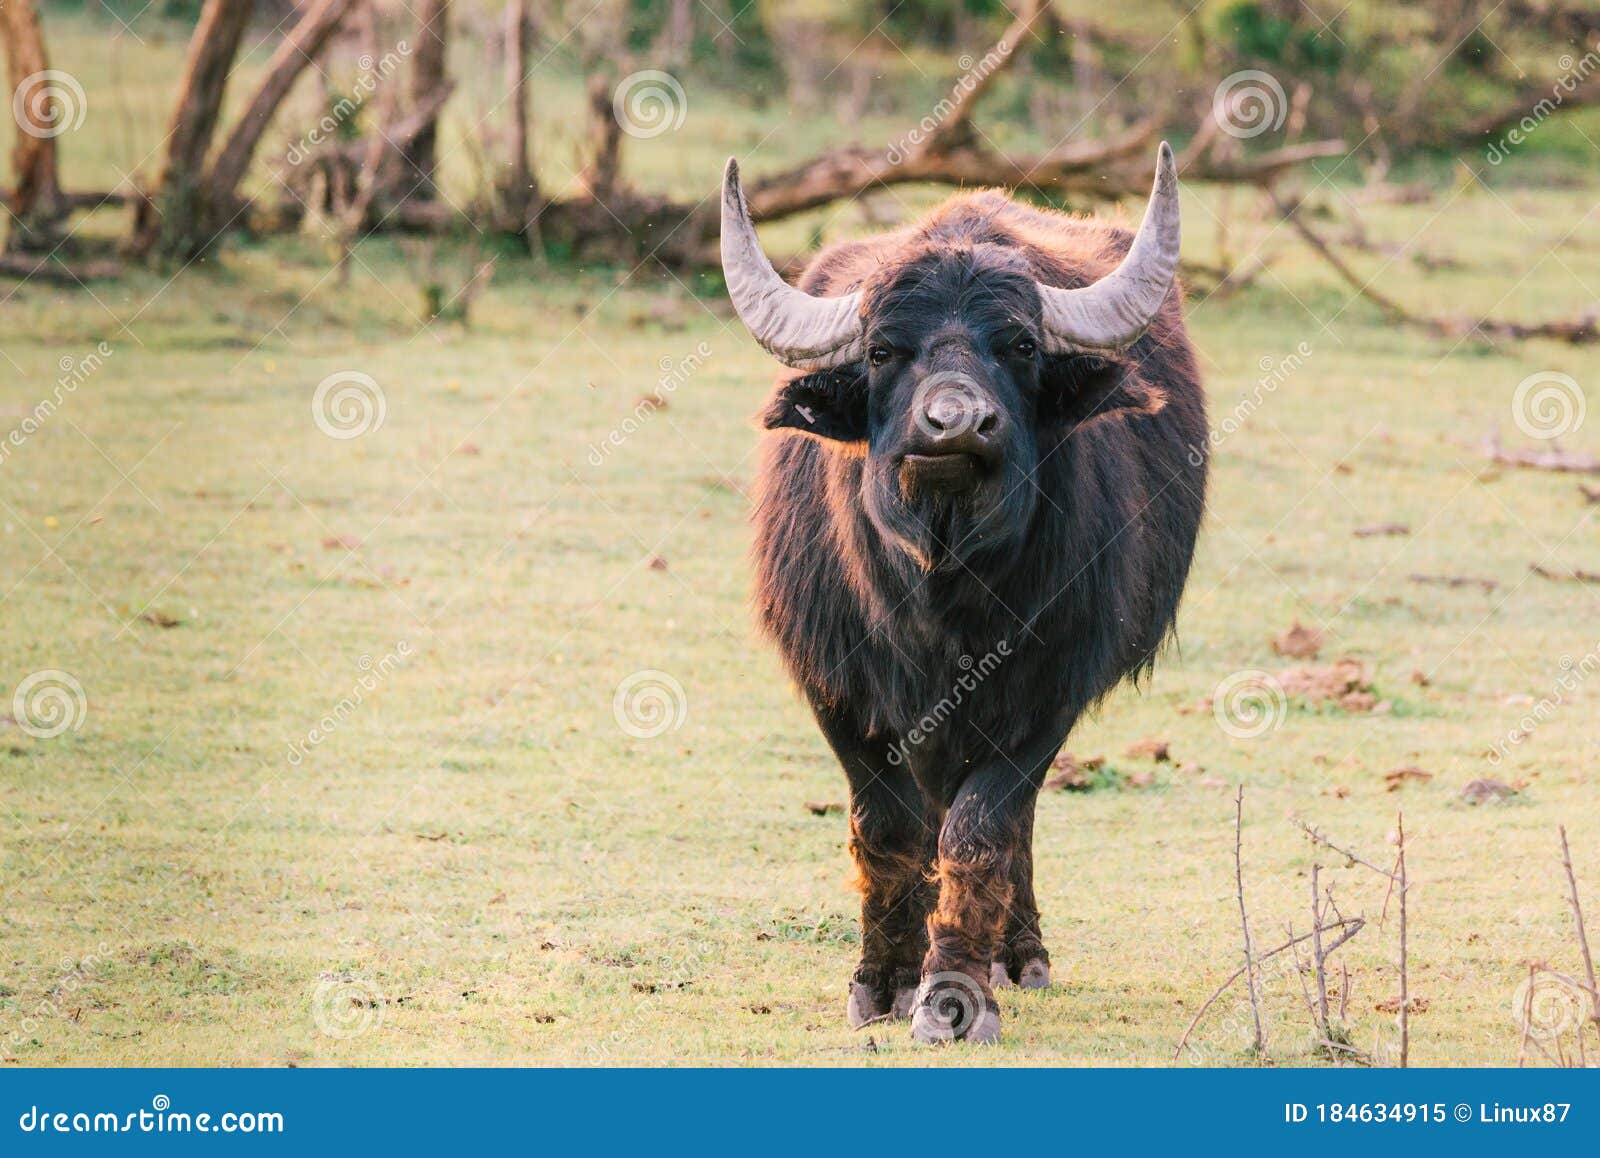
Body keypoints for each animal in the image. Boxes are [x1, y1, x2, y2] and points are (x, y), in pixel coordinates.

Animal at [722, 145, 1207, 1043]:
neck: (938, 598)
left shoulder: (1047, 691)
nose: (955, 423)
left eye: (1017, 345)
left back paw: (1019, 954)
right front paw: (884, 981)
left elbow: (982, 832)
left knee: (1010, 823)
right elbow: (885, 827)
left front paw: (954, 993)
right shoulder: (838, 690)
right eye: (884, 350)